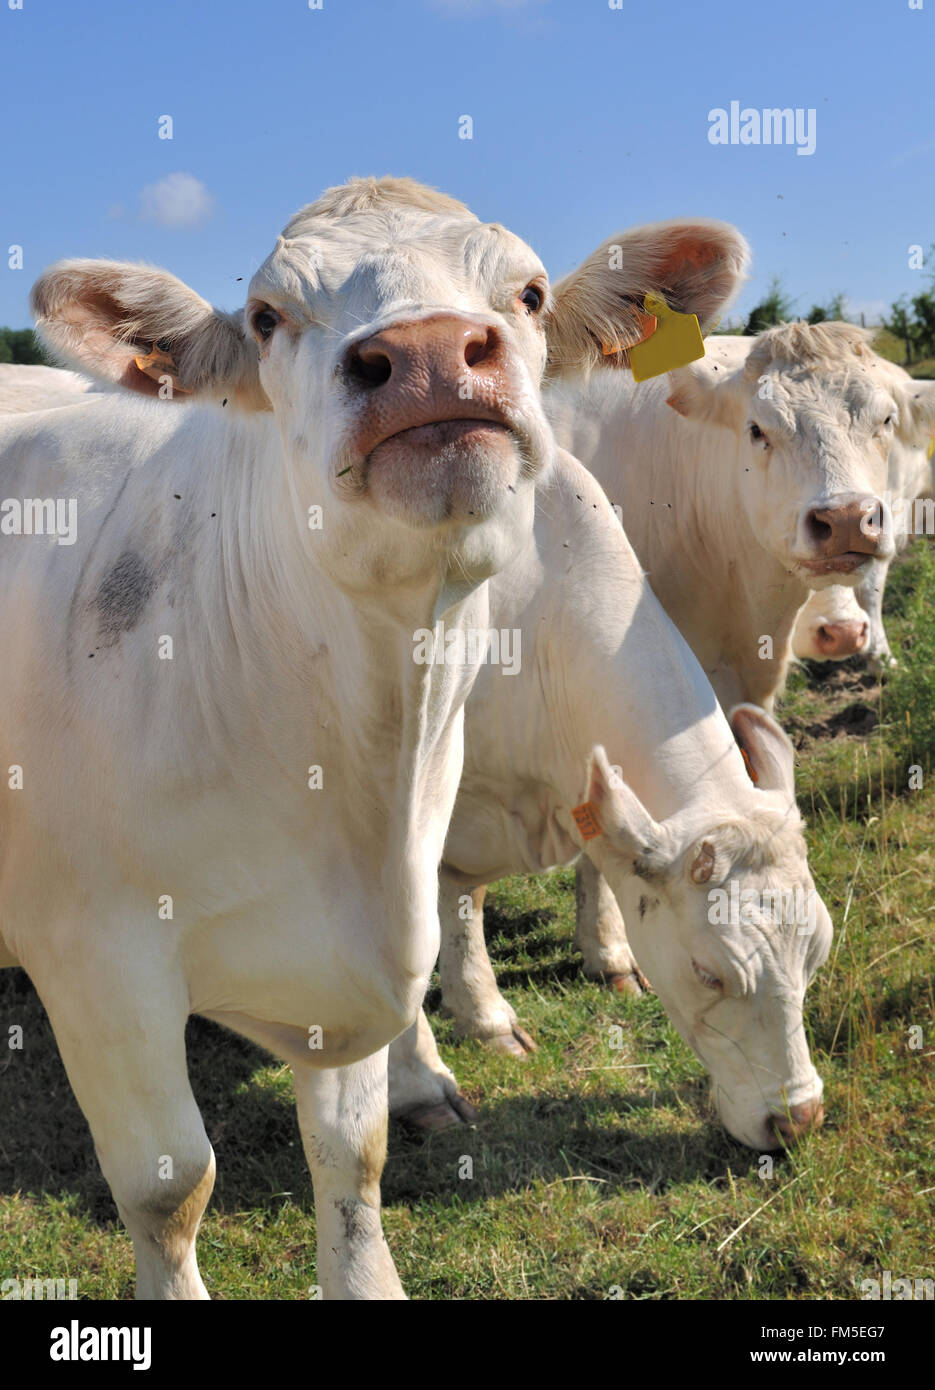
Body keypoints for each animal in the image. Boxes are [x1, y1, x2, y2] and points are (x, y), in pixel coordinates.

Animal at [1, 180, 756, 1299]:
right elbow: (167, 1185)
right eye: (267, 316)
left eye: (529, 293)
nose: (431, 351)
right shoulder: (96, 959)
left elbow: (351, 1152)